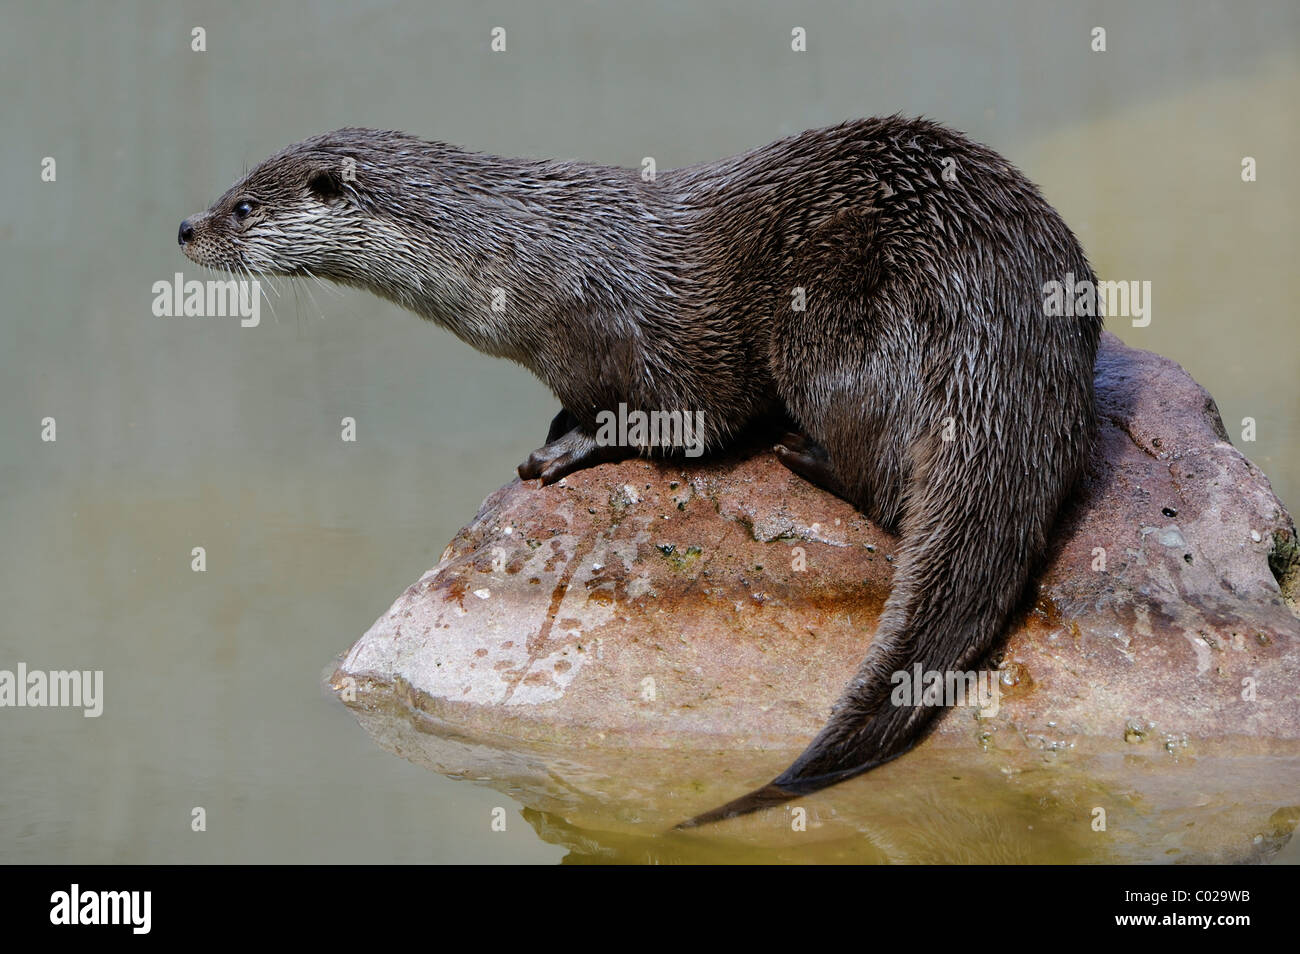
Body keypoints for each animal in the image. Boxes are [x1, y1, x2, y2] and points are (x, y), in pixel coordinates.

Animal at [179, 118, 1102, 827]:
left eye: (245, 204)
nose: (186, 227)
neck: (516, 262)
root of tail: (1005, 317)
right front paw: (559, 425)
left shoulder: (635, 336)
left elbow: (686, 422)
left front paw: (568, 448)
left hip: (836, 328)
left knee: (881, 481)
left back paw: (800, 452)